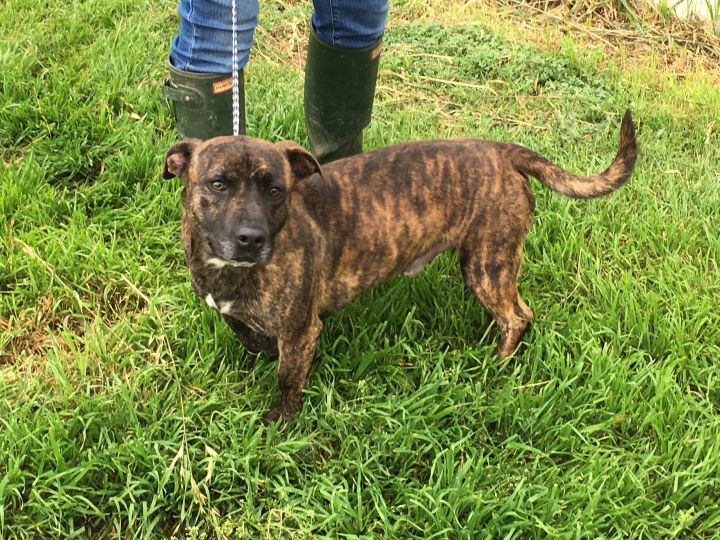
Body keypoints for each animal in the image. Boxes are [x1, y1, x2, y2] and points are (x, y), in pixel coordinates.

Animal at [163, 109, 636, 422]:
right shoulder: (237, 313)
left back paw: (498, 365)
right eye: (218, 184)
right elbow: (248, 335)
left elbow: (287, 378)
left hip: (486, 264)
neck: (228, 268)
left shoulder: (300, 331)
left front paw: (282, 419)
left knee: (517, 316)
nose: (251, 238)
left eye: (276, 190)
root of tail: (501, 152)